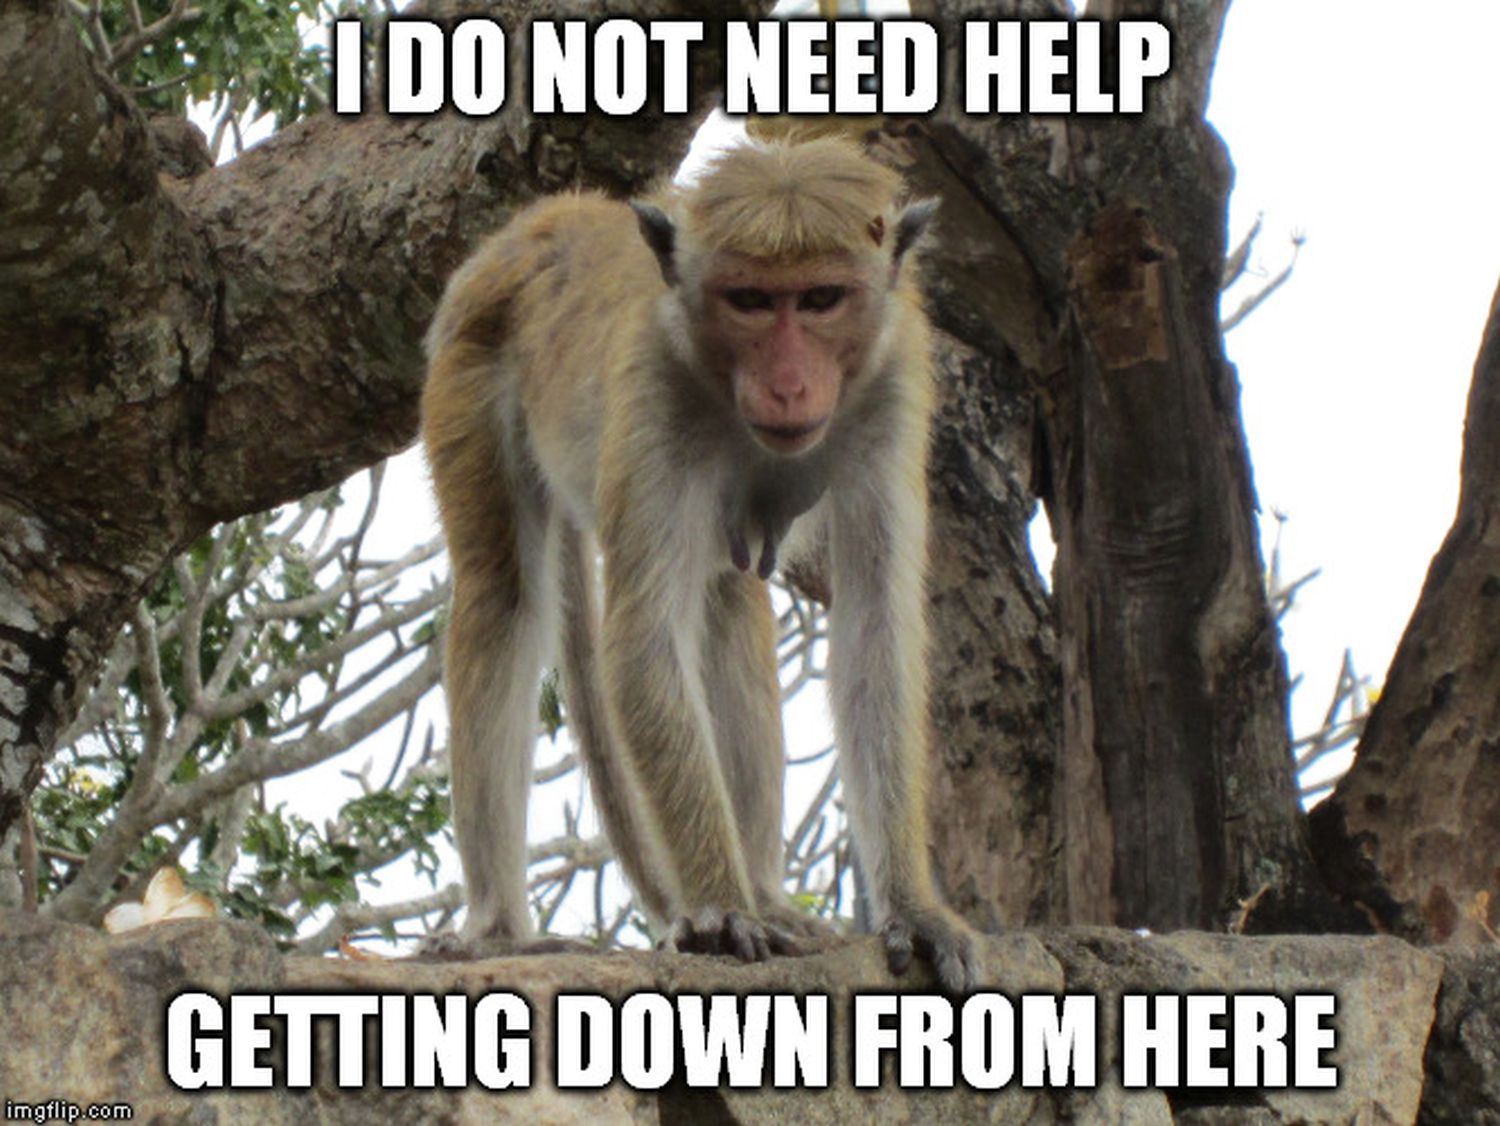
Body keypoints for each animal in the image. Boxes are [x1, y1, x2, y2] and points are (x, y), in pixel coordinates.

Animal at [421, 137, 980, 991]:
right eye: (749, 300)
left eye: (821, 299)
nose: (788, 383)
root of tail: (548, 215)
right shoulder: (657, 394)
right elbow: (646, 638)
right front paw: (718, 910)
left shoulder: (893, 386)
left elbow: (875, 631)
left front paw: (913, 909)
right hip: (467, 362)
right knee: (502, 600)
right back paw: (499, 931)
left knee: (729, 602)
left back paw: (769, 897)